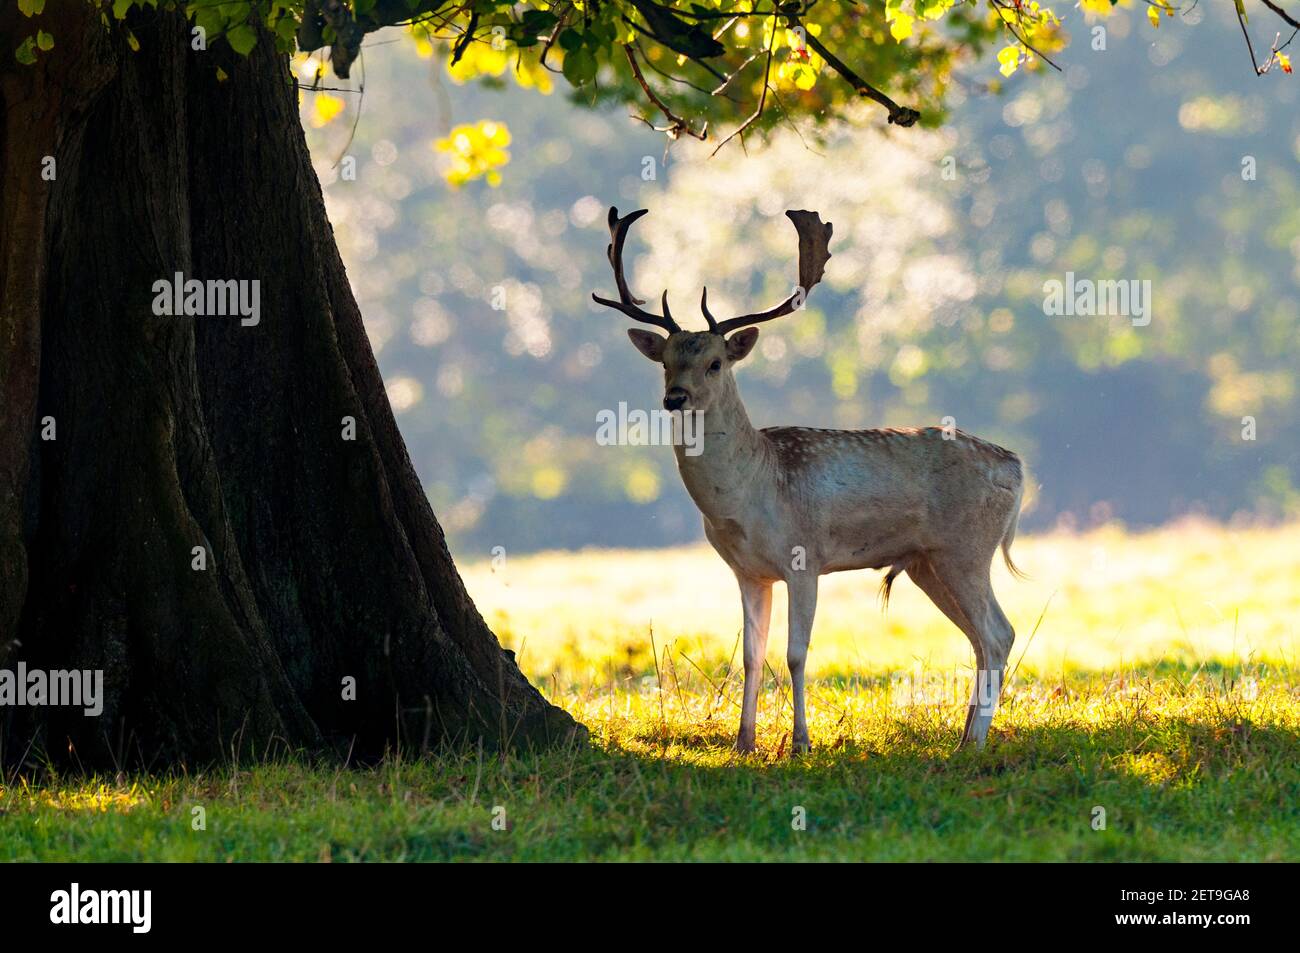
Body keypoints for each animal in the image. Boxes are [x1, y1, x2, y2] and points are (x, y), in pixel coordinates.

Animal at [592, 206, 1026, 755]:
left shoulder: (806, 558)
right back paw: (965, 734)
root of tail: (1017, 467)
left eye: (715, 362)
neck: (751, 494)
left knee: (998, 633)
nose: (675, 397)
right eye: (667, 362)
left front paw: (800, 742)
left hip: (966, 546)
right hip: (927, 561)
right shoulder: (748, 571)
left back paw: (973, 743)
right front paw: (744, 742)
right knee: (978, 638)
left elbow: (796, 653)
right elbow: (751, 655)